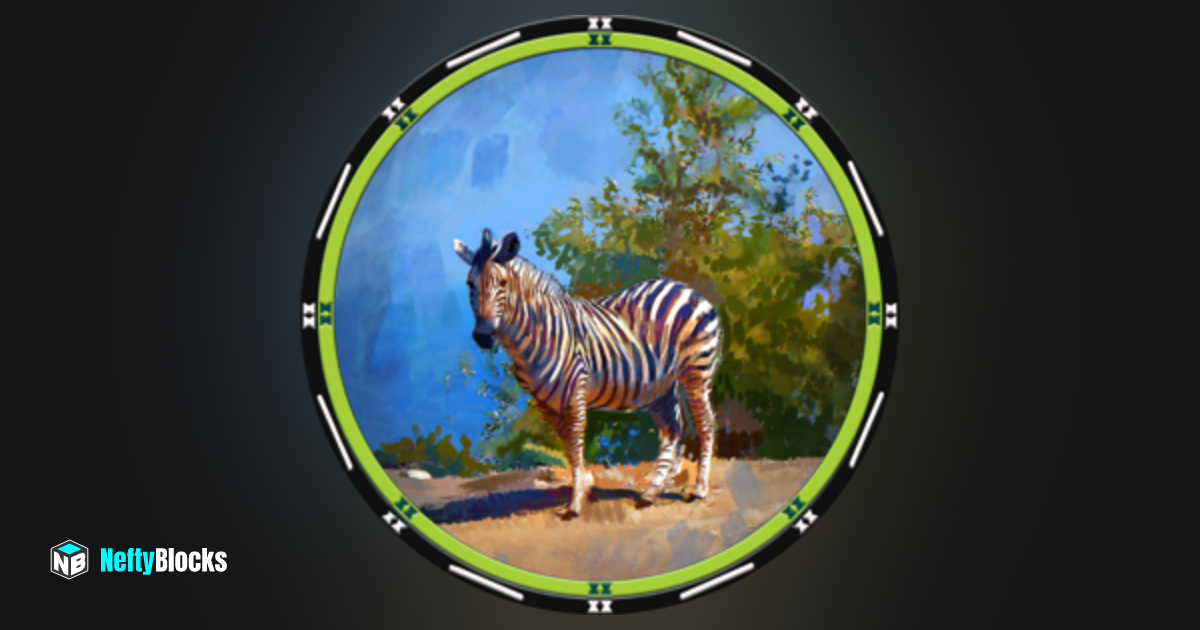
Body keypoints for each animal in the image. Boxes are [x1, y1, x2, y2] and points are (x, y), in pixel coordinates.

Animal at [453, 228, 723, 518]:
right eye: (469, 284)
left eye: (502, 284)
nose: (482, 337)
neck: (536, 334)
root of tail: (682, 287)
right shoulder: (543, 400)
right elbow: (567, 444)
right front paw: (584, 484)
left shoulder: (575, 392)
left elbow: (574, 442)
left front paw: (574, 503)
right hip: (660, 384)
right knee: (672, 430)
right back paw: (654, 491)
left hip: (696, 370)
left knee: (705, 422)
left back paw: (699, 489)